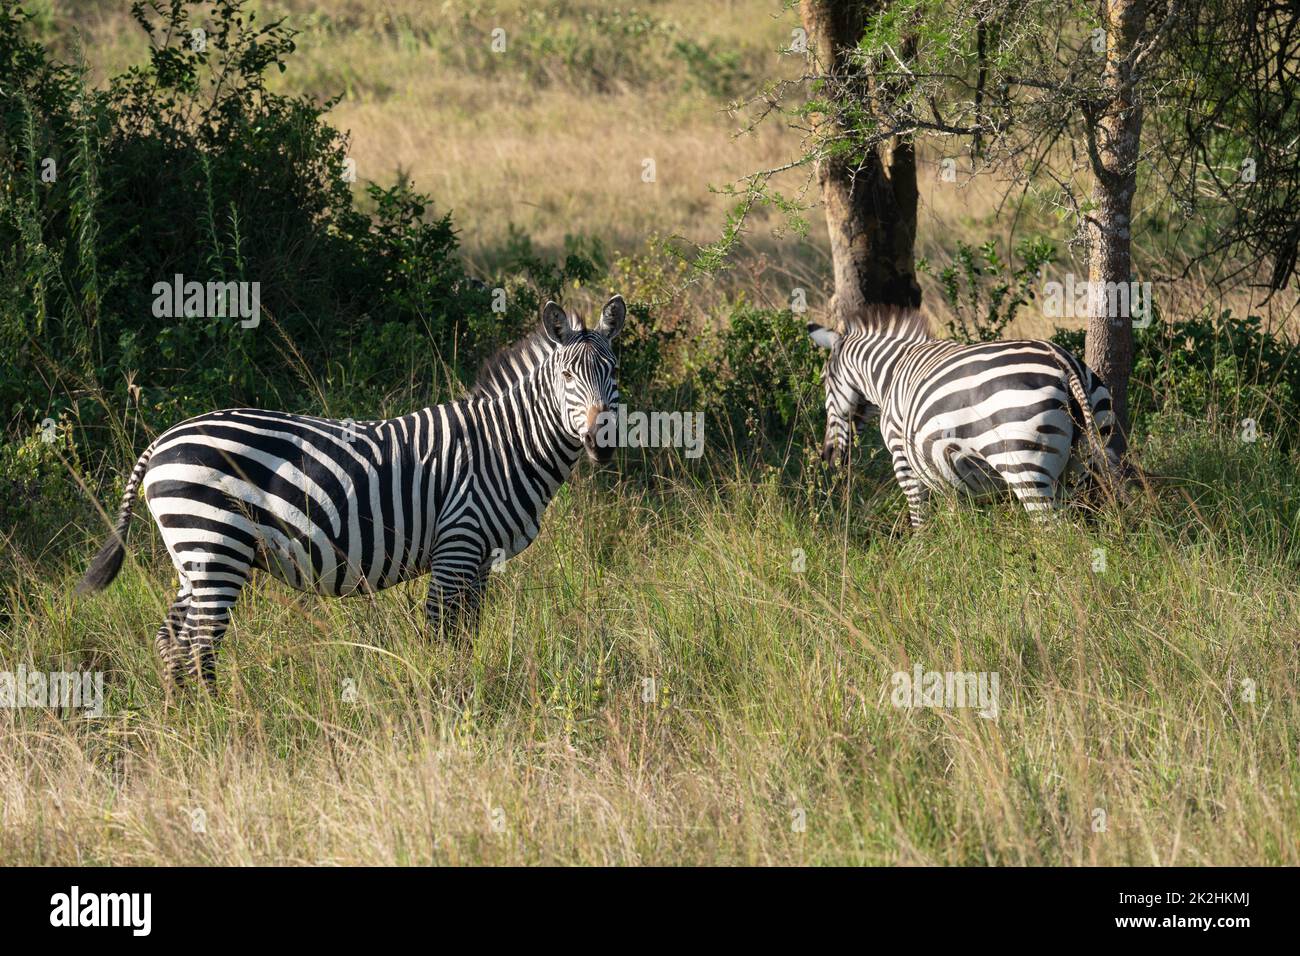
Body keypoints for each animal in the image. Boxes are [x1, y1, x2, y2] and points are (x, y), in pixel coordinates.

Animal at [76, 296, 627, 689]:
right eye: (566, 375)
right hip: (214, 544)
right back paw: (217, 722)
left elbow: (467, 635)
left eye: (612, 373)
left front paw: (468, 689)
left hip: (193, 555)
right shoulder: (457, 545)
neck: (504, 445)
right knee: (198, 643)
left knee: (171, 637)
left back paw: (183, 717)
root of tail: (160, 442)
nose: (601, 443)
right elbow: (441, 635)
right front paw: (446, 699)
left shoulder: (480, 560)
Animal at [807, 306, 1126, 525]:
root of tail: (1062, 361)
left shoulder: (903, 458)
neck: (889, 375)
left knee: (1054, 532)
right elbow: (960, 522)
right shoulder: (950, 476)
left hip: (1025, 465)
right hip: (1084, 463)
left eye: (823, 381)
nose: (828, 456)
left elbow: (919, 516)